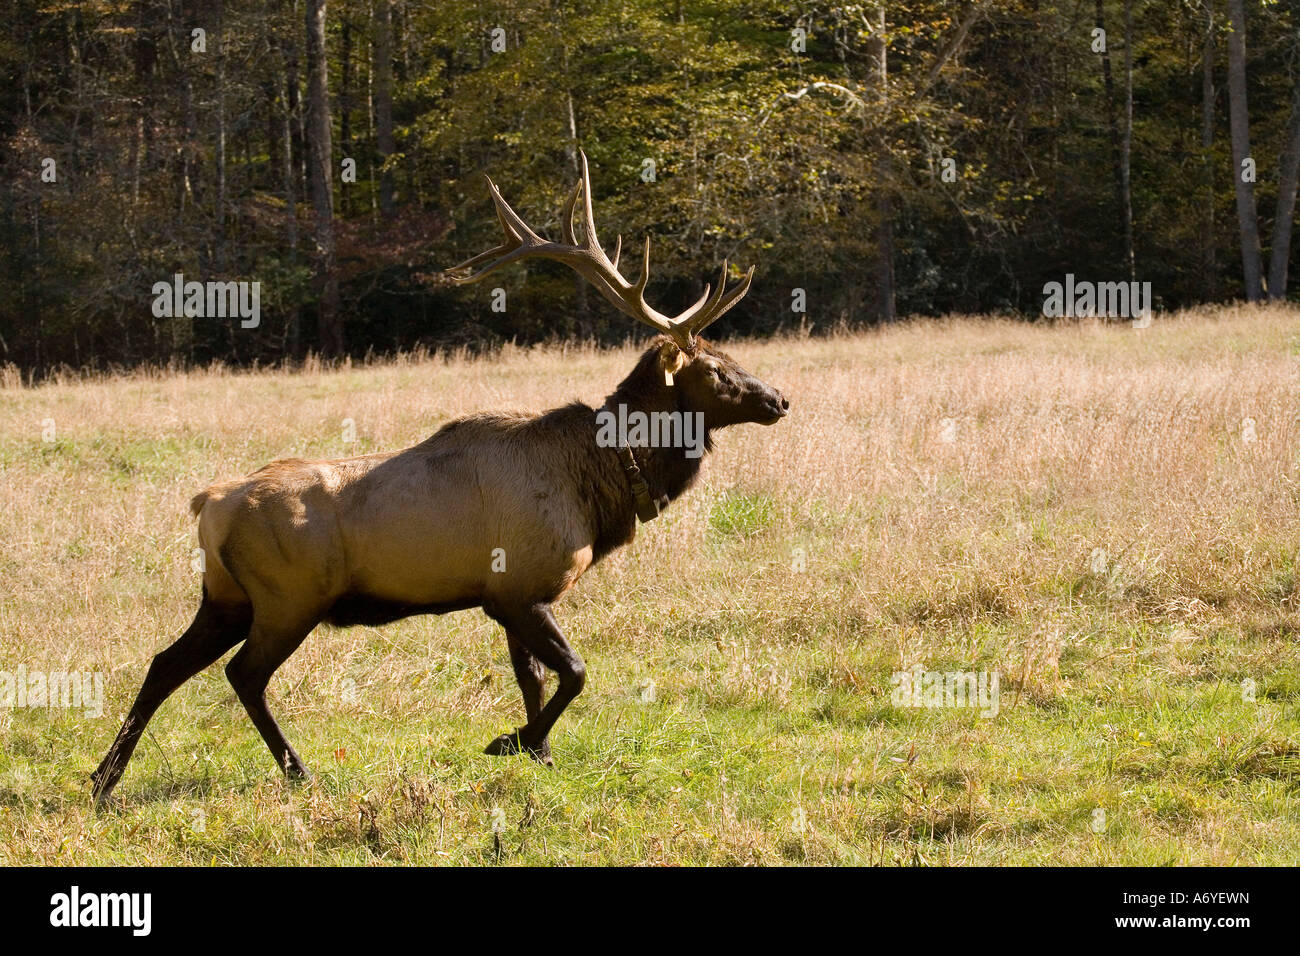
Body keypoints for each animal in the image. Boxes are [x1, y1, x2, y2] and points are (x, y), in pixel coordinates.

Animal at [91, 152, 789, 805]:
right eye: (715, 370)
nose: (780, 399)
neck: (602, 483)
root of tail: (206, 505)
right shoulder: (520, 588)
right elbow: (574, 672)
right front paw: (511, 741)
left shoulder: (506, 594)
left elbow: (533, 677)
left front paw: (541, 757)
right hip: (289, 598)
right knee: (243, 675)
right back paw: (298, 771)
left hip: (226, 596)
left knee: (165, 664)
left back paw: (104, 779)